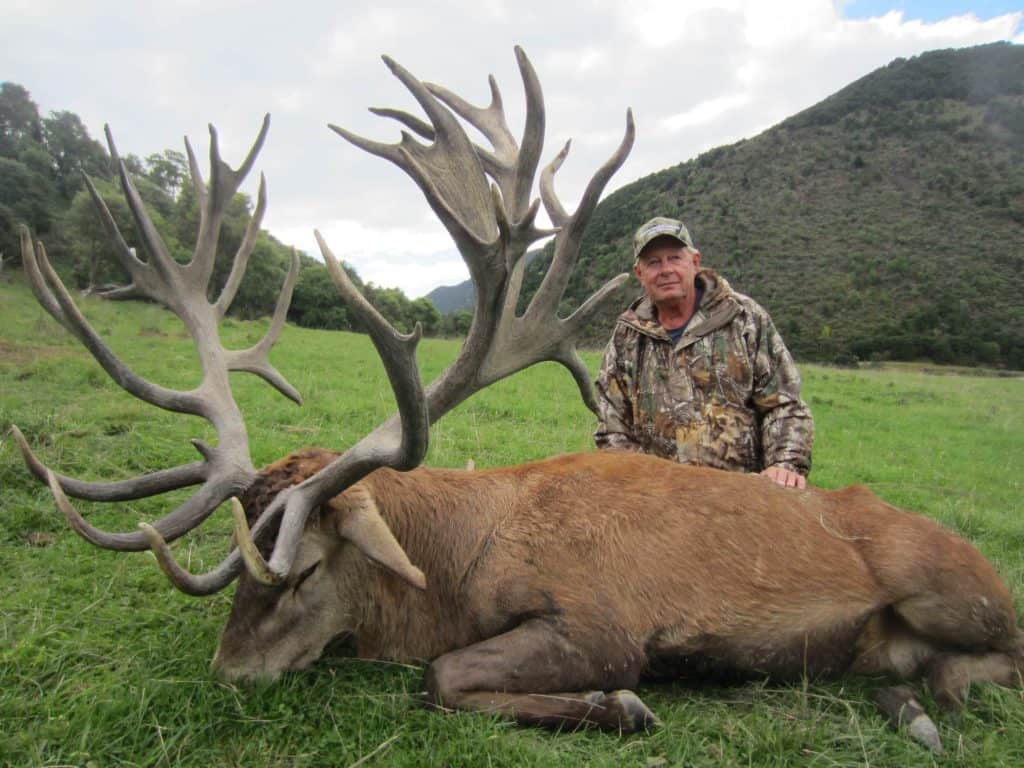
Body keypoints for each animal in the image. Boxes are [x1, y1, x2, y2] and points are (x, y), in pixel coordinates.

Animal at [11, 48, 1023, 756]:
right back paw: (904, 699)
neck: (455, 567)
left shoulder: (601, 618)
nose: (228, 674)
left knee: (998, 662)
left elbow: (442, 678)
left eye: (300, 572)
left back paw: (928, 704)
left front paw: (621, 704)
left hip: (947, 586)